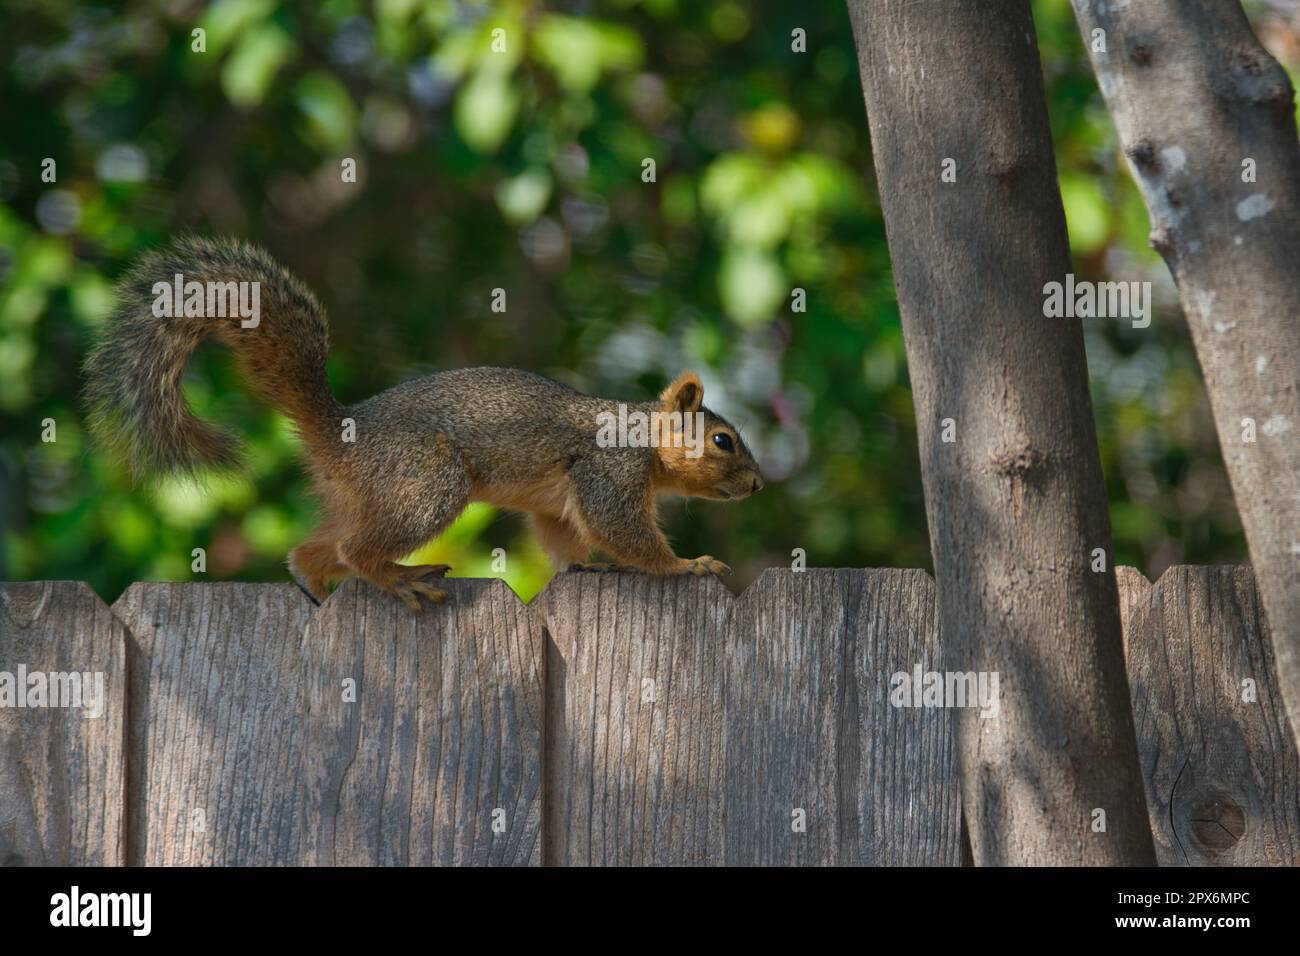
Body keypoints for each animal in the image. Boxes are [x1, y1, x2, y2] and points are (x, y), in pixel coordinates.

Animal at [84, 237, 765, 611]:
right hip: (426, 482)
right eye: (722, 441)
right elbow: (626, 533)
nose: (759, 485)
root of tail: (339, 429)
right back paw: (401, 579)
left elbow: (565, 540)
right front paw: (686, 566)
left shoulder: (559, 503)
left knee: (318, 548)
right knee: (359, 549)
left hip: (364, 496)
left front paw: (591, 568)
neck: (642, 438)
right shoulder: (609, 472)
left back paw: (316, 582)